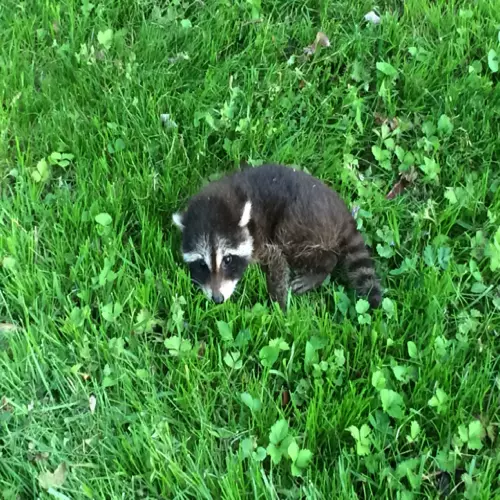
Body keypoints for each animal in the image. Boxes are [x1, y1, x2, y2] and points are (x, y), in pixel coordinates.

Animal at [172, 164, 382, 310]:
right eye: (201, 264)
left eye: (228, 260)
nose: (217, 299)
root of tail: (341, 212)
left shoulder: (260, 238)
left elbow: (278, 262)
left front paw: (279, 306)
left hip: (306, 220)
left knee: (292, 239)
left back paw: (323, 267)